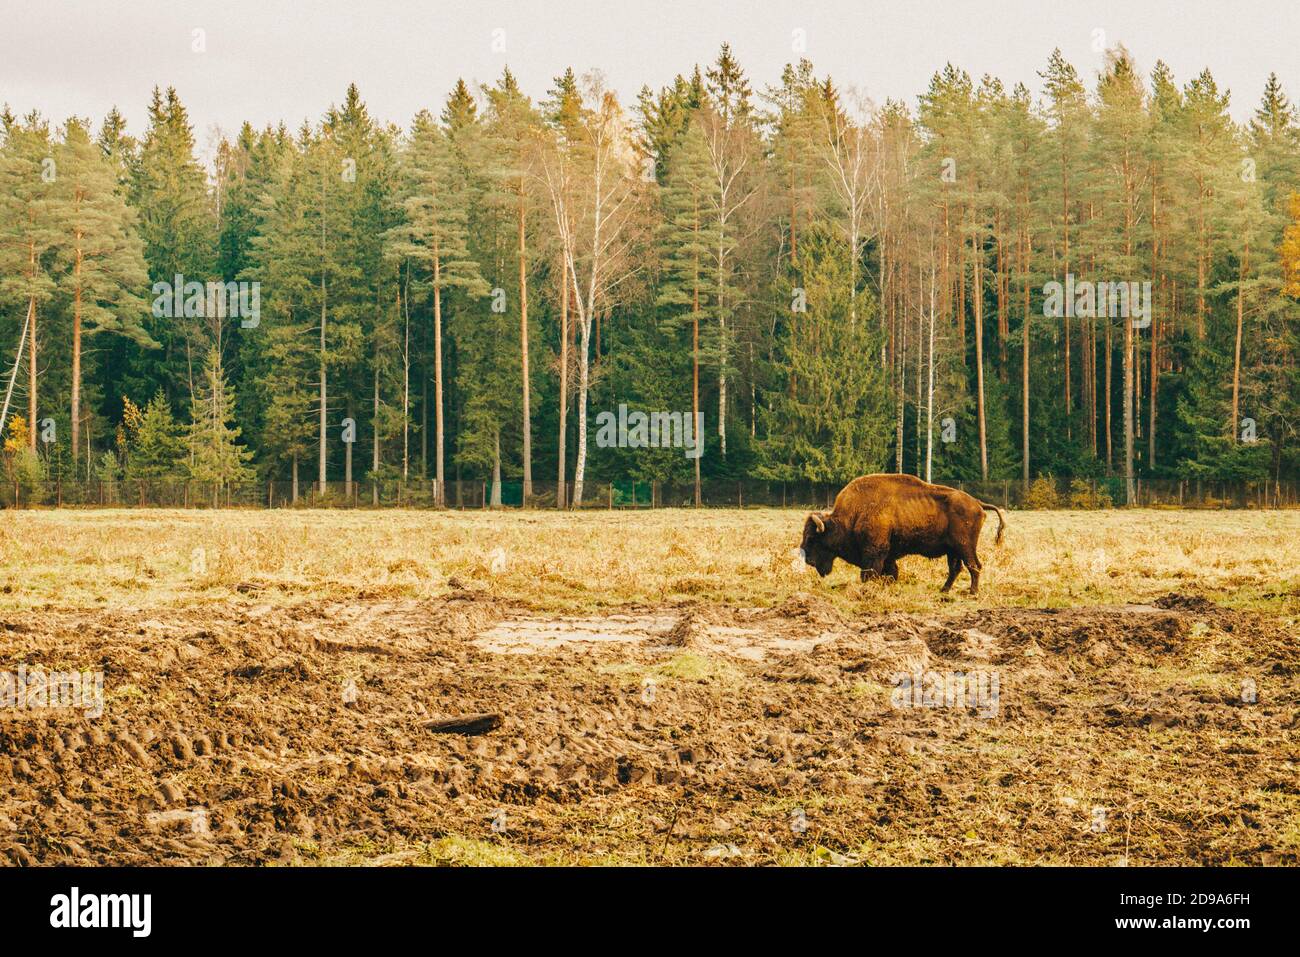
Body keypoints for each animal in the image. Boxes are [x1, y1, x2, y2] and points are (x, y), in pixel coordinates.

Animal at [799, 474, 1006, 594]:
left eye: (812, 539)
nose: (808, 560)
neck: (851, 516)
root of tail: (977, 503)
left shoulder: (874, 553)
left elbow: (870, 573)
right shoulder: (888, 555)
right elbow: (891, 572)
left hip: (965, 546)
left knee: (974, 566)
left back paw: (972, 592)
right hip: (952, 550)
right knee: (956, 569)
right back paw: (944, 590)